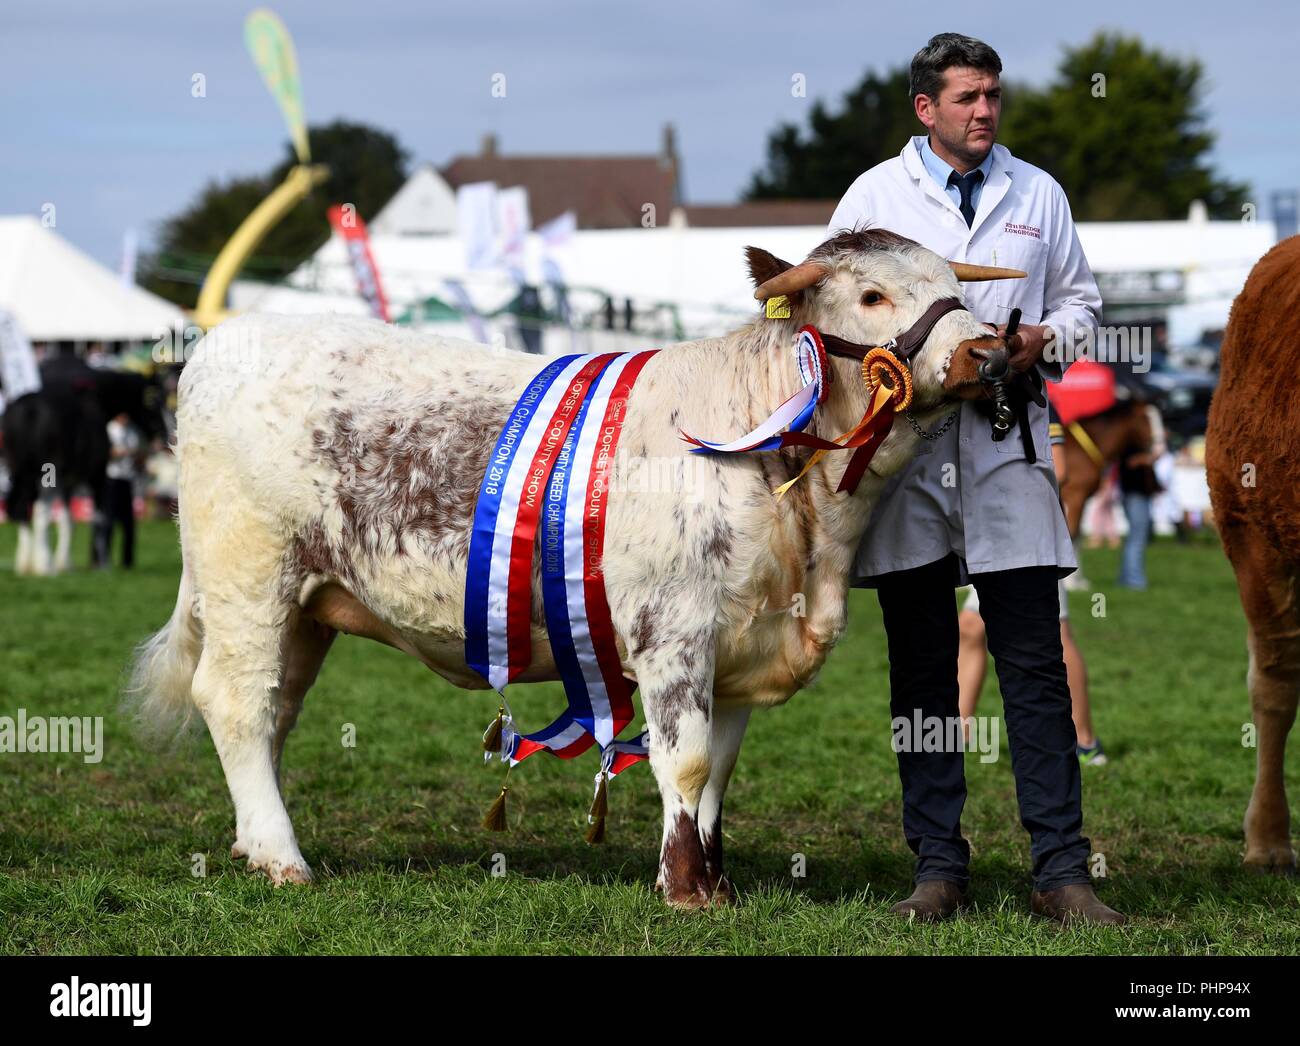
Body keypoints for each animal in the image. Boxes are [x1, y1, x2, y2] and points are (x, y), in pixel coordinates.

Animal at [125, 229, 1024, 907]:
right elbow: (685, 760)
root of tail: (222, 343)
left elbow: (720, 771)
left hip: (307, 606)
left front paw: (718, 880)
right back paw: (284, 858)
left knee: (275, 711)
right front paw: (684, 890)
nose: (986, 354)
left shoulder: (743, 639)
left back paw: (252, 843)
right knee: (237, 703)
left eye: (954, 284)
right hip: (250, 573)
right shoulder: (672, 631)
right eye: (871, 297)